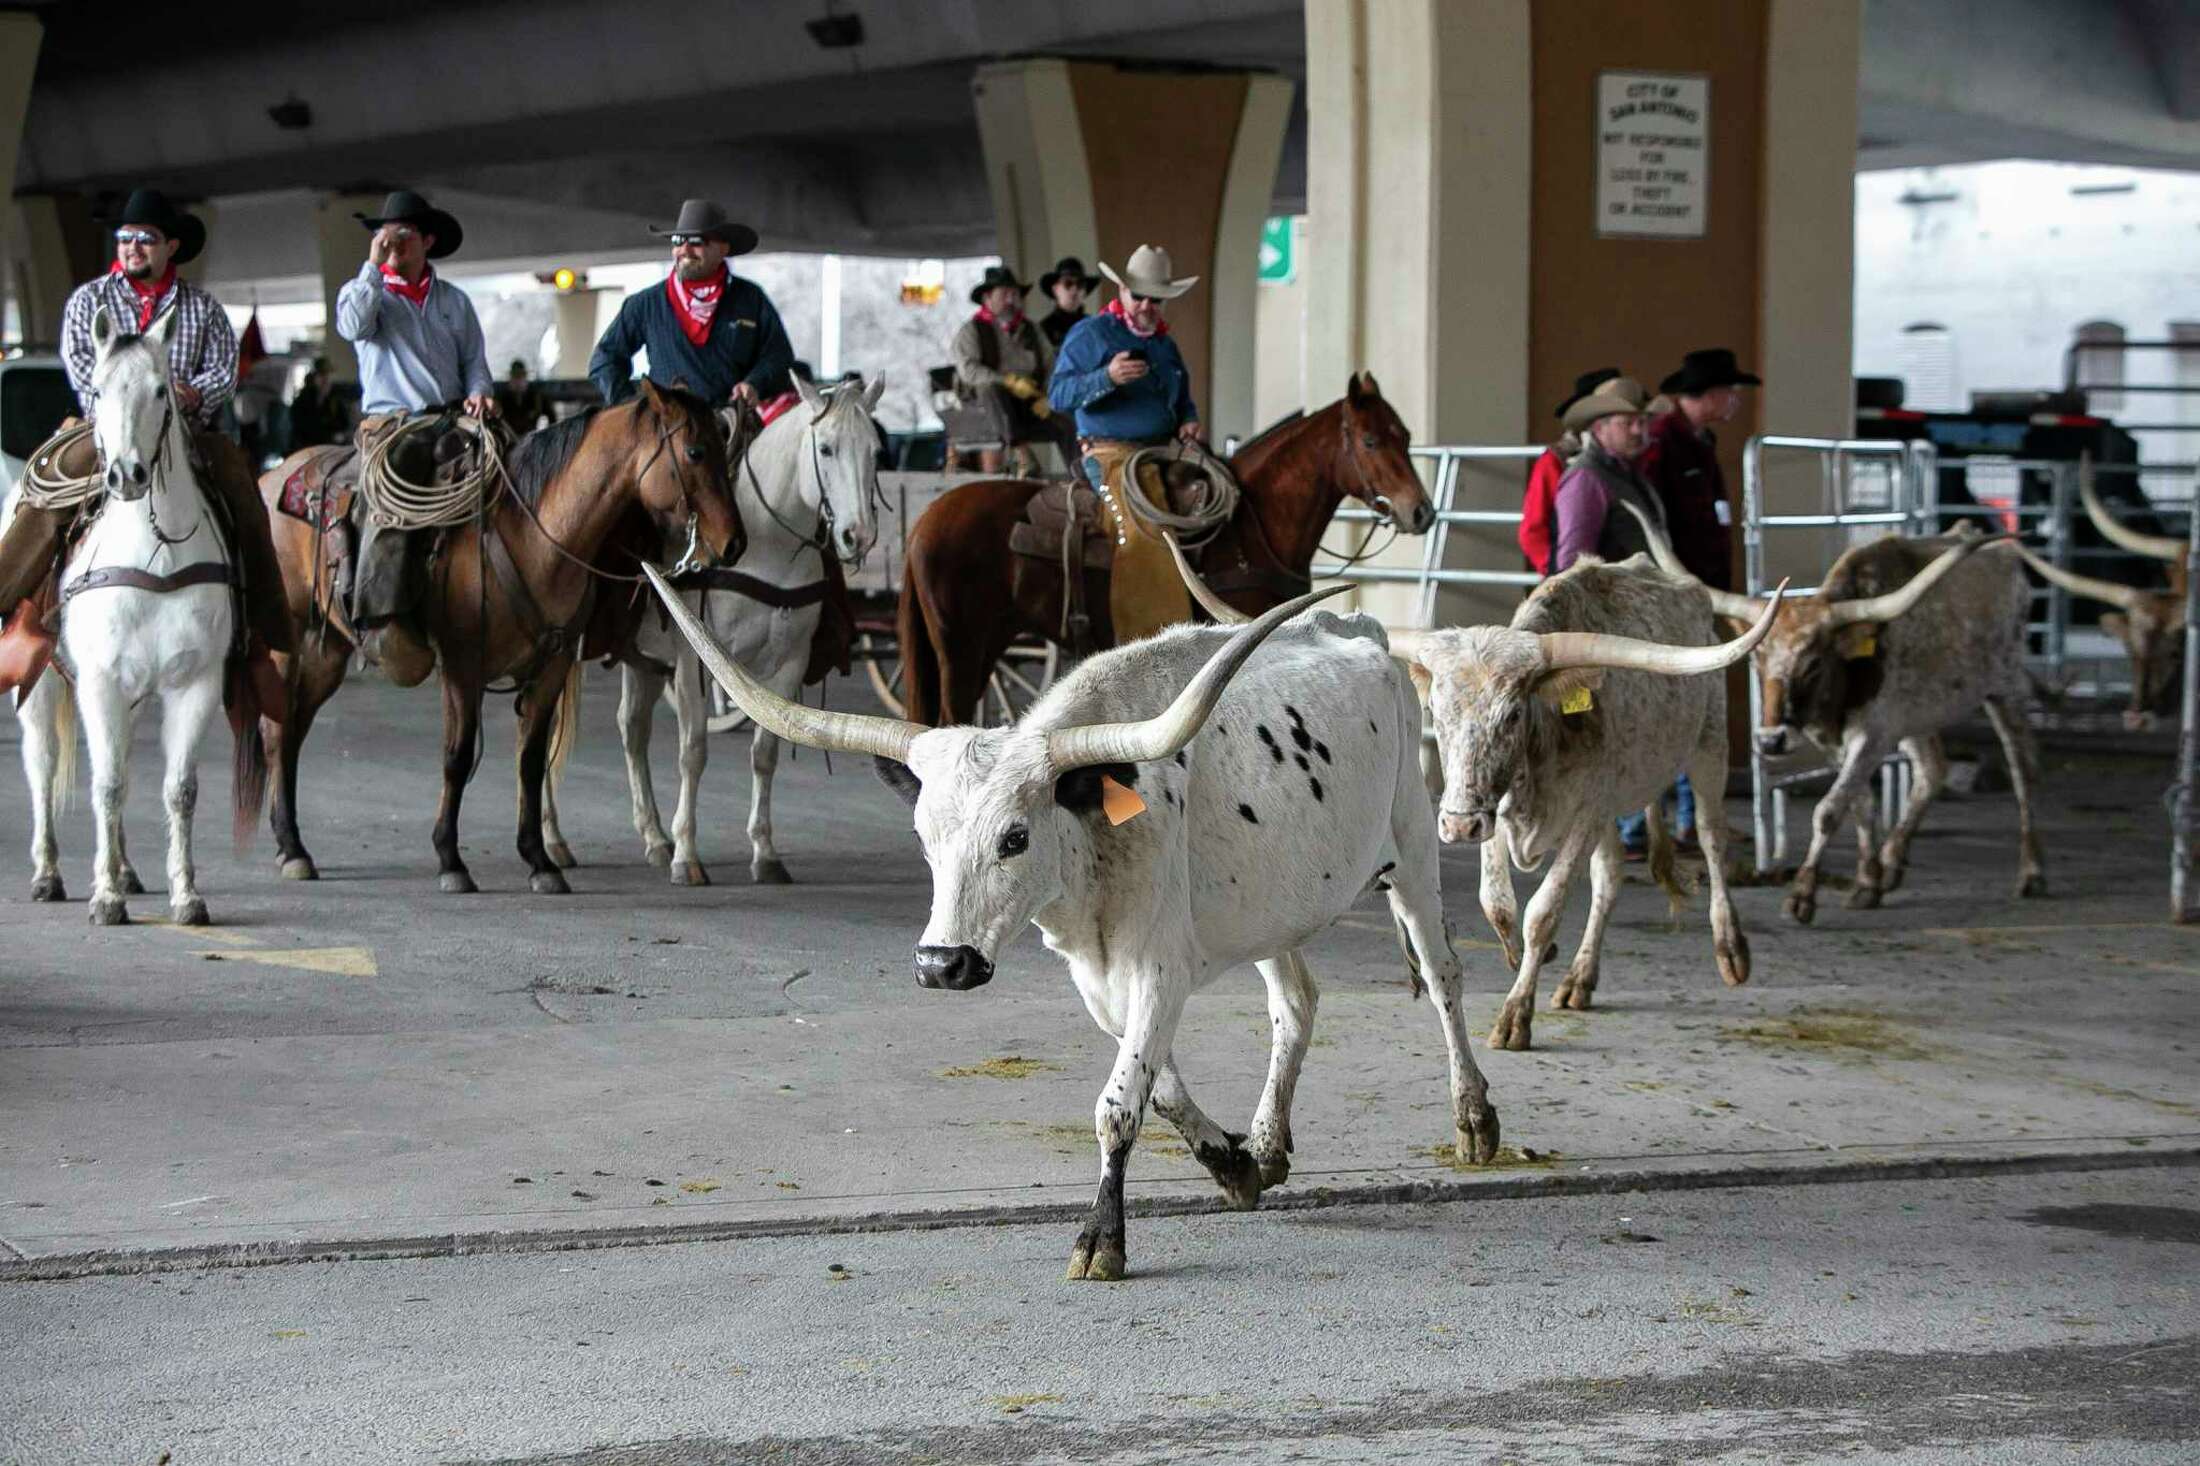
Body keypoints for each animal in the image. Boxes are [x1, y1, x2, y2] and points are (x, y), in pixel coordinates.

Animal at [642, 566, 1501, 1282]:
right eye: (923, 837)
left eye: (1015, 837)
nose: (941, 964)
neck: (1093, 843)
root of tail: (1358, 627)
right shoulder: (1100, 980)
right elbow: (1159, 1091)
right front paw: (1232, 1165)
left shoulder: (1159, 970)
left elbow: (1118, 1106)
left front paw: (1101, 1240)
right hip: (1273, 906)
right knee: (1296, 1004)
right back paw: (1267, 1142)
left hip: (1414, 846)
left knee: (1445, 974)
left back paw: (1475, 1118)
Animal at [1388, 558, 1786, 1051]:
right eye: (1437, 714)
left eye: (1512, 714)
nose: (1458, 826)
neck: (1549, 728)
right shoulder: (1496, 809)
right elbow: (1496, 902)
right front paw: (1527, 957)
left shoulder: (1585, 815)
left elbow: (1542, 912)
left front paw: (1515, 1016)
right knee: (1610, 876)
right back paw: (1580, 978)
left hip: (1708, 748)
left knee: (1712, 839)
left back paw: (1731, 948)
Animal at [1620, 502, 2040, 925]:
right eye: (1758, 658)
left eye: (1813, 663)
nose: (1770, 740)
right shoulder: (1841, 740)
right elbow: (1860, 805)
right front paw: (1868, 881)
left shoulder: (1873, 736)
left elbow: (1829, 809)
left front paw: (1803, 894)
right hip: (1916, 714)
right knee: (1932, 769)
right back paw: (1893, 861)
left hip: (2006, 686)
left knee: (2021, 769)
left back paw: (2031, 872)